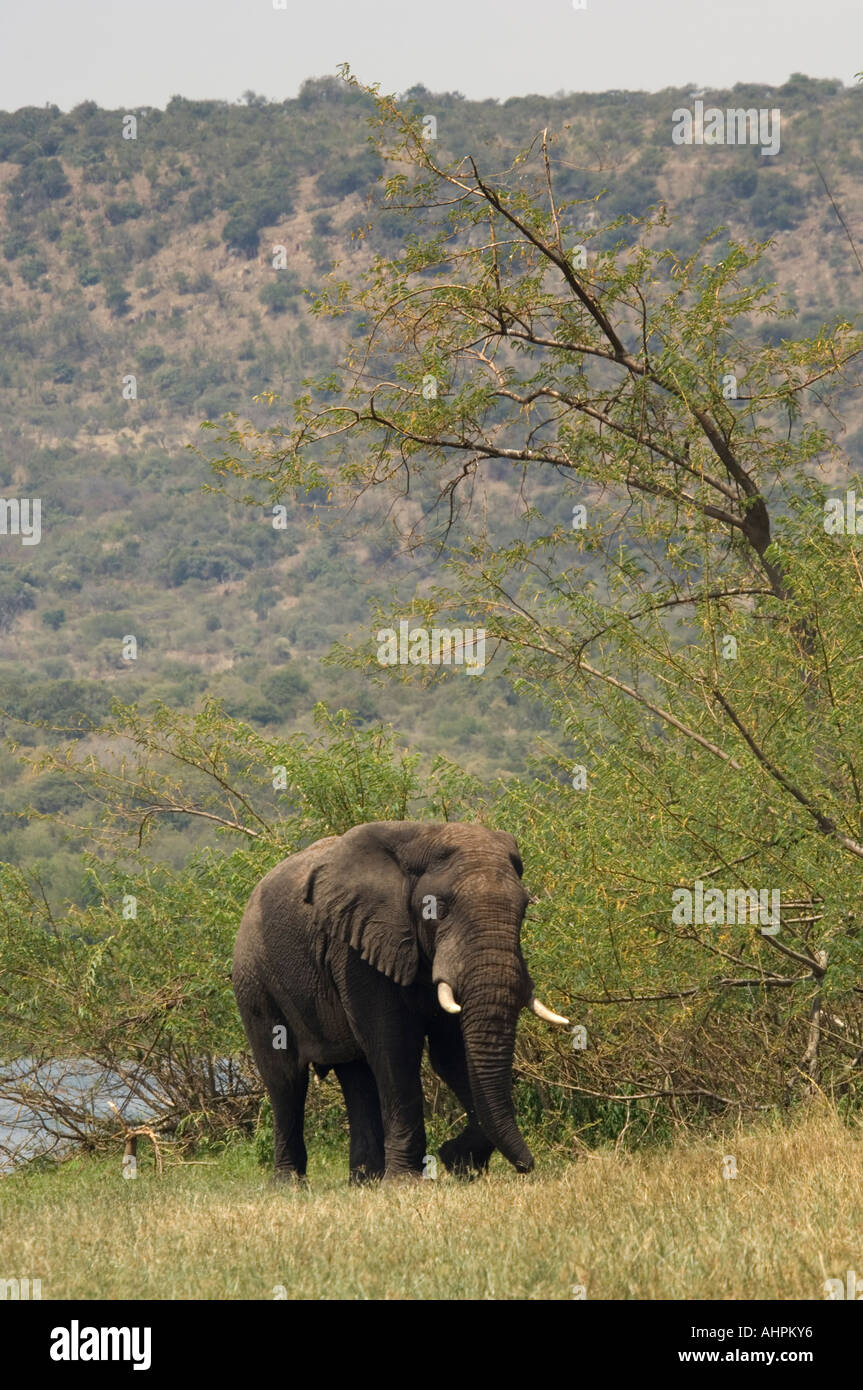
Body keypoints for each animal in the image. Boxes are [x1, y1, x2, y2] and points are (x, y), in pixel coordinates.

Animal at [232, 819, 569, 1182]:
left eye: (524, 908)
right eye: (438, 909)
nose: (527, 1167)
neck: (425, 836)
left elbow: (451, 1054)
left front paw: (457, 1161)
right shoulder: (357, 950)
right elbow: (395, 1047)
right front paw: (407, 1182)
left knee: (356, 1076)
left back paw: (364, 1181)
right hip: (254, 979)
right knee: (285, 1078)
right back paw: (291, 1184)